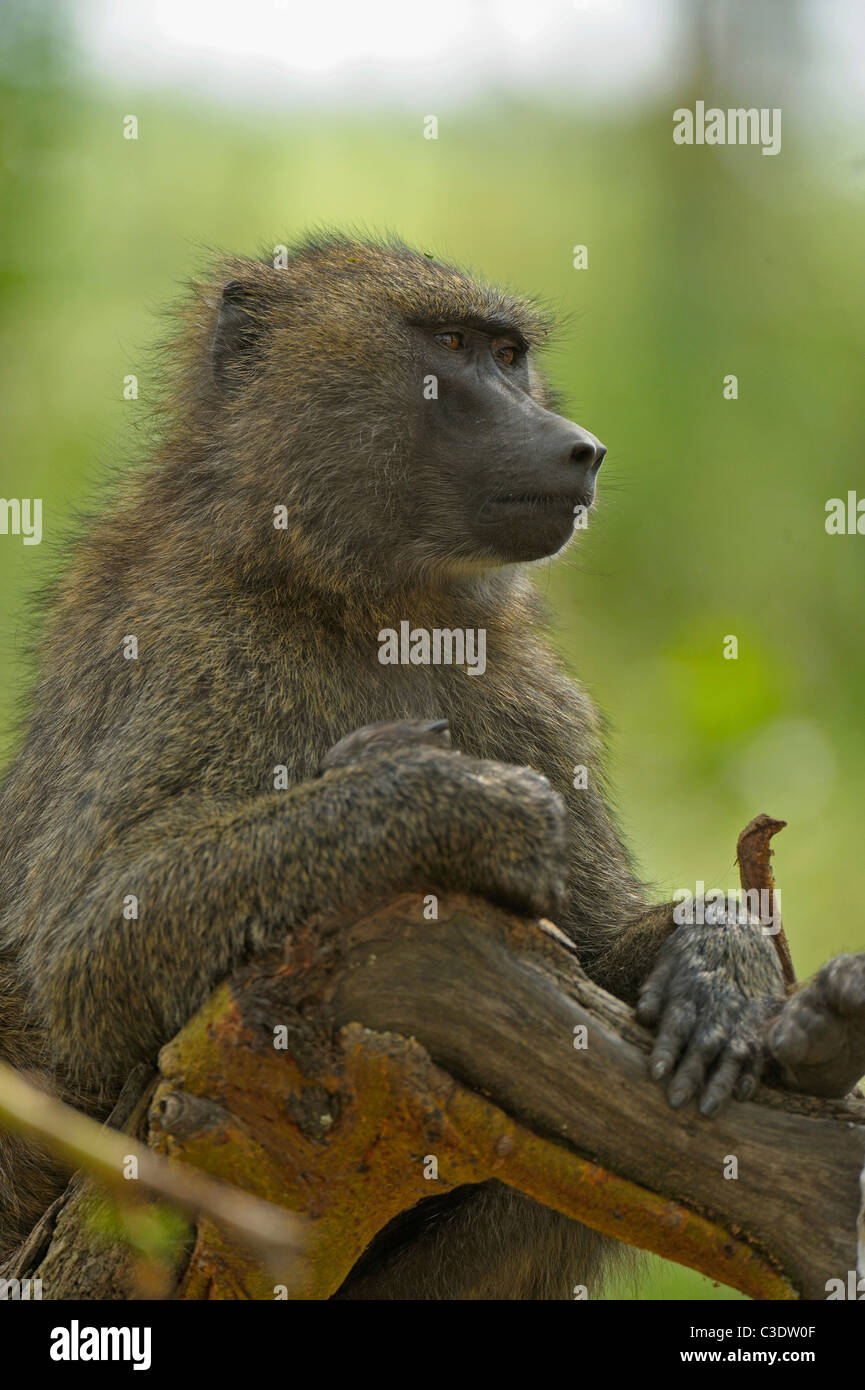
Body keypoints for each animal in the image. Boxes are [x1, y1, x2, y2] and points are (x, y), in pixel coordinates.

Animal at [1, 233, 864, 1297]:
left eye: (509, 354)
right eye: (450, 344)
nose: (579, 446)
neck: (363, 596)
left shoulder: (531, 698)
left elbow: (591, 961)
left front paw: (719, 959)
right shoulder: (185, 644)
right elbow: (84, 956)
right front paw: (459, 805)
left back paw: (820, 1043)